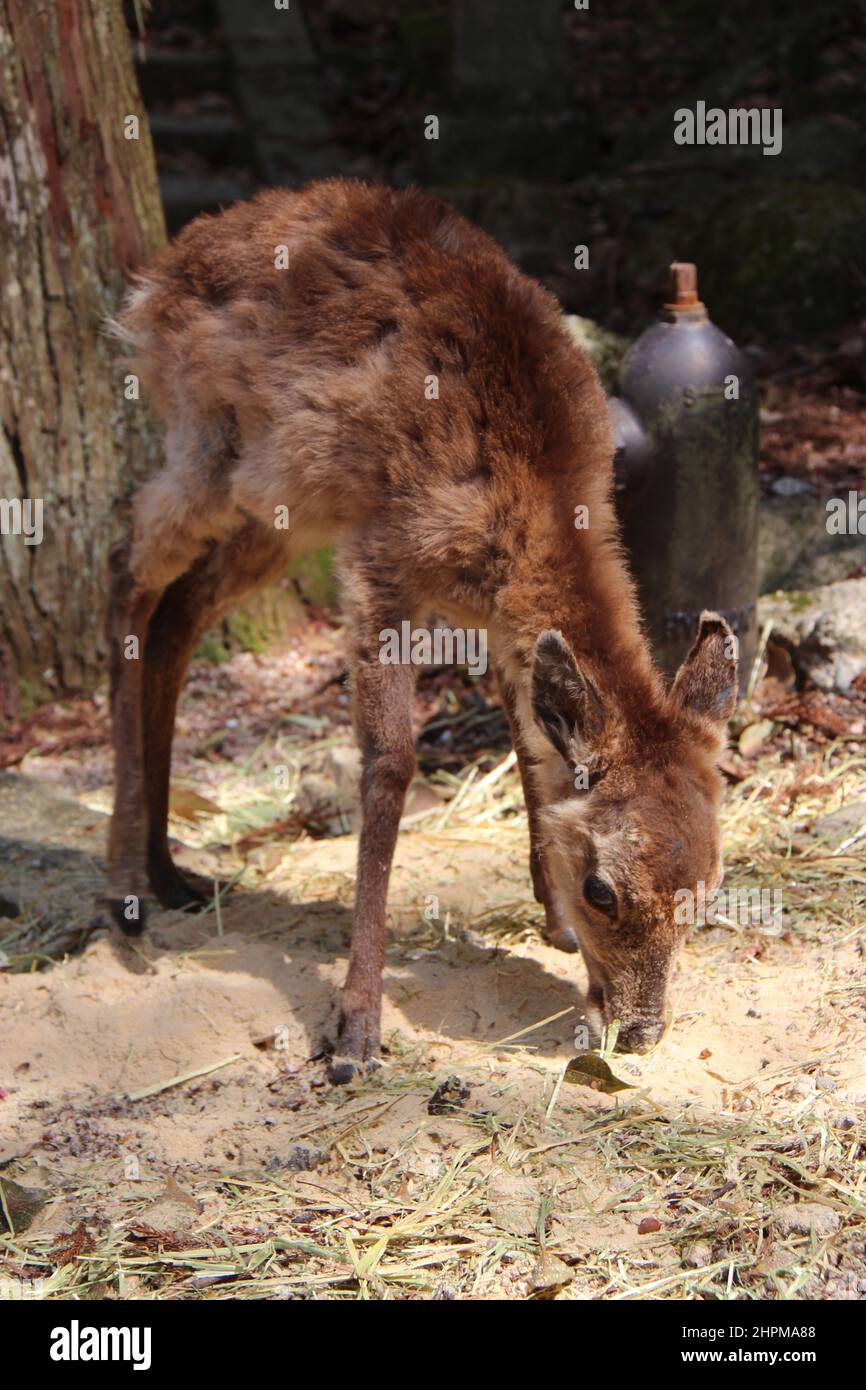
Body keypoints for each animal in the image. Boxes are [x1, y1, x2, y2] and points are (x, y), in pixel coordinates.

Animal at [107, 179, 737, 1083]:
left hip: (277, 505)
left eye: (711, 889)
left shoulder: (497, 620)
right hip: (208, 446)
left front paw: (547, 923)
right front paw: (353, 1034)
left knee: (177, 610)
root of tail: (156, 279)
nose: (642, 1030)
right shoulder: (381, 558)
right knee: (124, 567)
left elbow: (527, 740)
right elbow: (391, 761)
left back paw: (169, 871)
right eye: (604, 890)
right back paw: (125, 891)